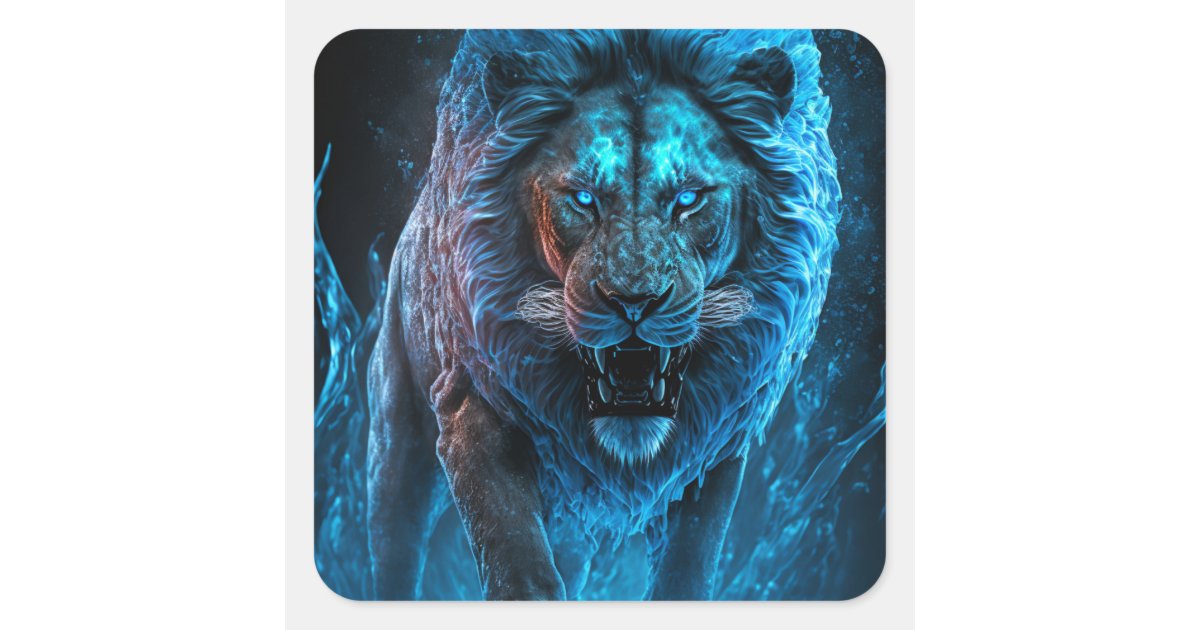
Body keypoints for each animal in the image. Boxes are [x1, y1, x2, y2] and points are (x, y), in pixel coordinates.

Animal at [366, 29, 841, 600]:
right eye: (583, 198)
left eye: (688, 199)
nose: (633, 301)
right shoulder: (469, 402)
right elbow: (518, 563)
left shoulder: (716, 444)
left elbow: (687, 570)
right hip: (395, 446)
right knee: (393, 546)